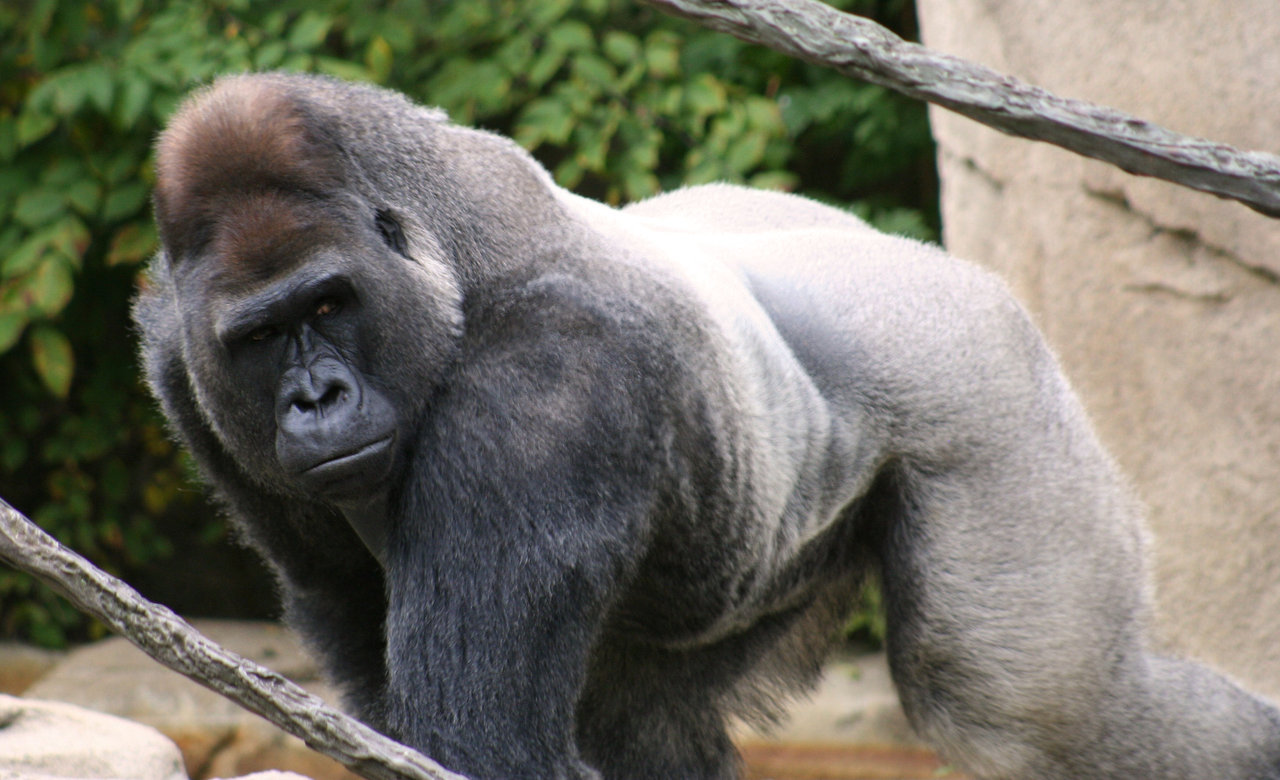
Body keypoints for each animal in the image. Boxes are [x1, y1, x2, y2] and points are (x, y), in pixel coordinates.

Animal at [133, 72, 1280, 779]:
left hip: (986, 380)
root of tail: (914, 259)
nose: (314, 400)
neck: (447, 258)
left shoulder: (546, 383)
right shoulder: (182, 367)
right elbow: (347, 613)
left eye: (330, 306)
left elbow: (480, 742)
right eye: (261, 336)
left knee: (1029, 711)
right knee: (656, 715)